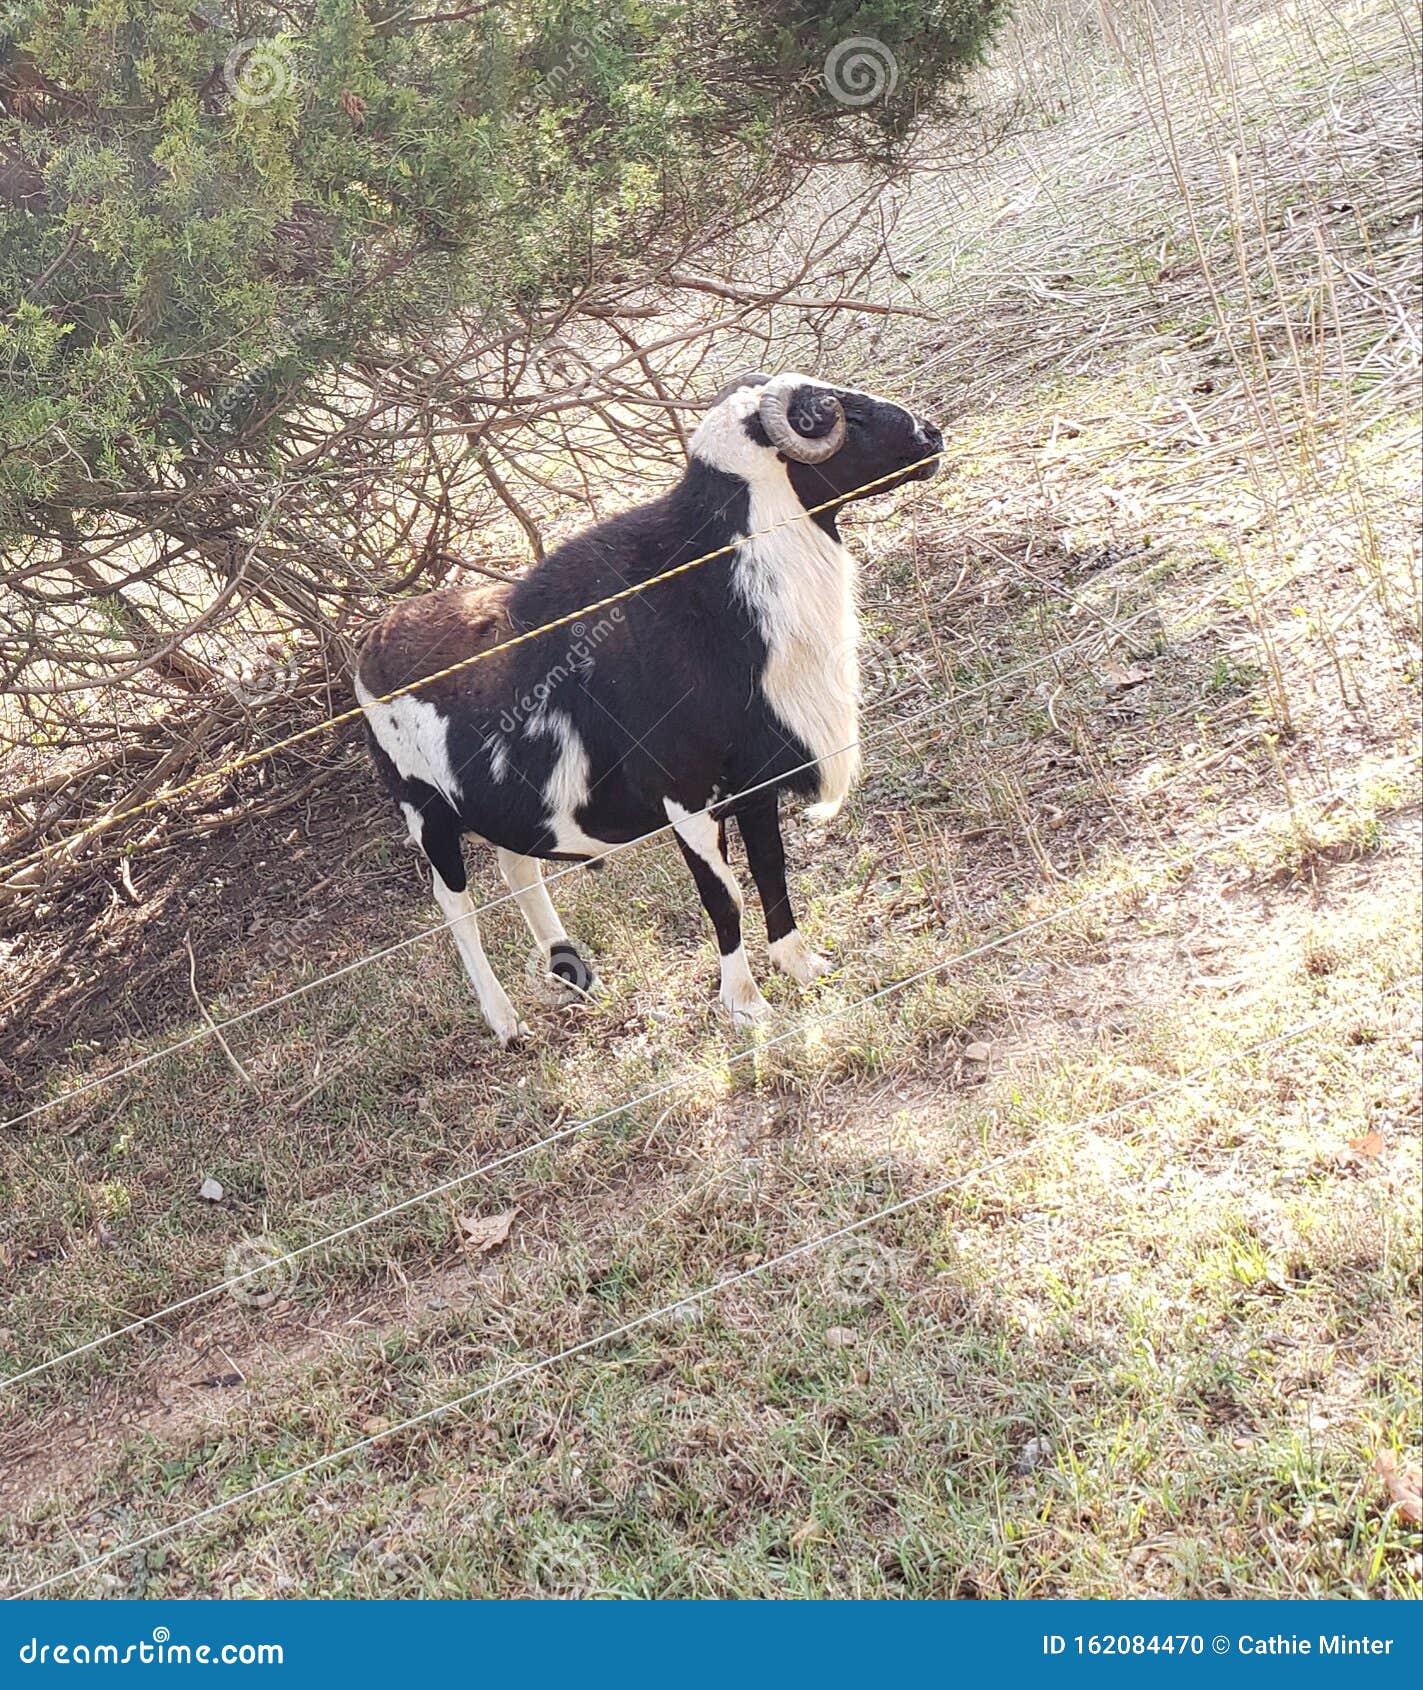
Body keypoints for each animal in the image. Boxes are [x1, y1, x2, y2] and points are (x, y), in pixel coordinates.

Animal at [357, 371, 943, 1044]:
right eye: (826, 413)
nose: (931, 435)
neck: (717, 587)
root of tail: (368, 644)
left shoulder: (754, 781)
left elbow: (771, 870)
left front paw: (802, 964)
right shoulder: (683, 795)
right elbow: (723, 896)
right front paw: (746, 1006)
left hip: (506, 806)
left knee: (518, 870)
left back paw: (569, 973)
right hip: (426, 813)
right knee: (457, 908)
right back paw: (505, 1023)